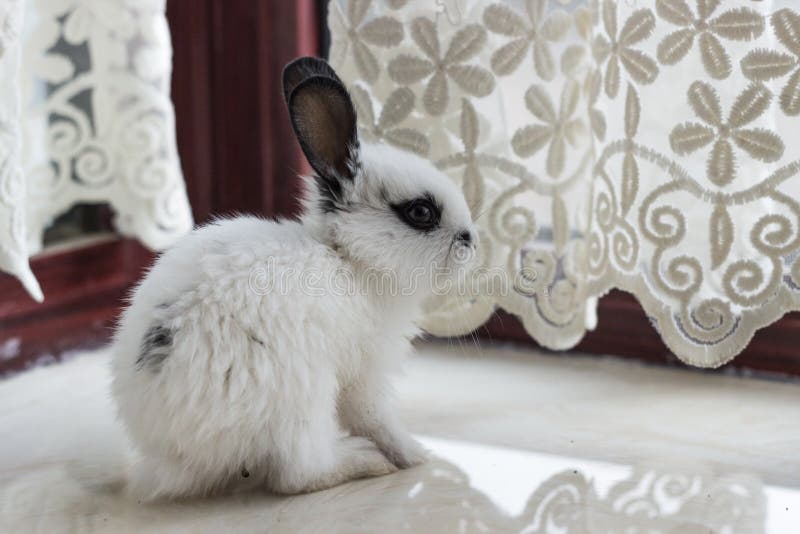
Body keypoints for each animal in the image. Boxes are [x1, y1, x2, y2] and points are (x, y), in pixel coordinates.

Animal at [110, 57, 478, 502]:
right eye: (421, 212)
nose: (471, 240)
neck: (349, 260)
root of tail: (173, 455)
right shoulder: (365, 373)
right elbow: (376, 418)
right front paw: (415, 455)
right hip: (304, 397)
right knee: (298, 475)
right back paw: (365, 460)